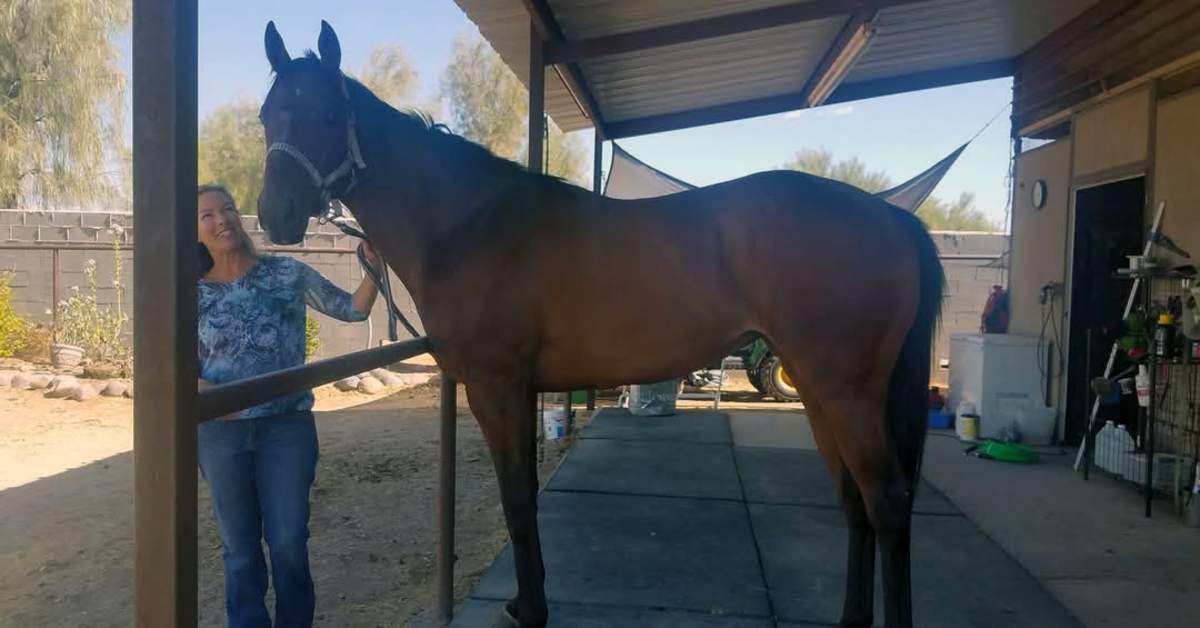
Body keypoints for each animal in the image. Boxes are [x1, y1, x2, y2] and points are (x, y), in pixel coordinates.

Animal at [255, 21, 943, 628]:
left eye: (326, 114)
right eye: (267, 115)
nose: (276, 215)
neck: (470, 222)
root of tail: (892, 219)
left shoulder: (496, 386)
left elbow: (517, 497)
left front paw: (532, 609)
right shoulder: (517, 390)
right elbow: (525, 492)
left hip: (846, 394)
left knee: (887, 503)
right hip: (820, 391)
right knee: (854, 501)